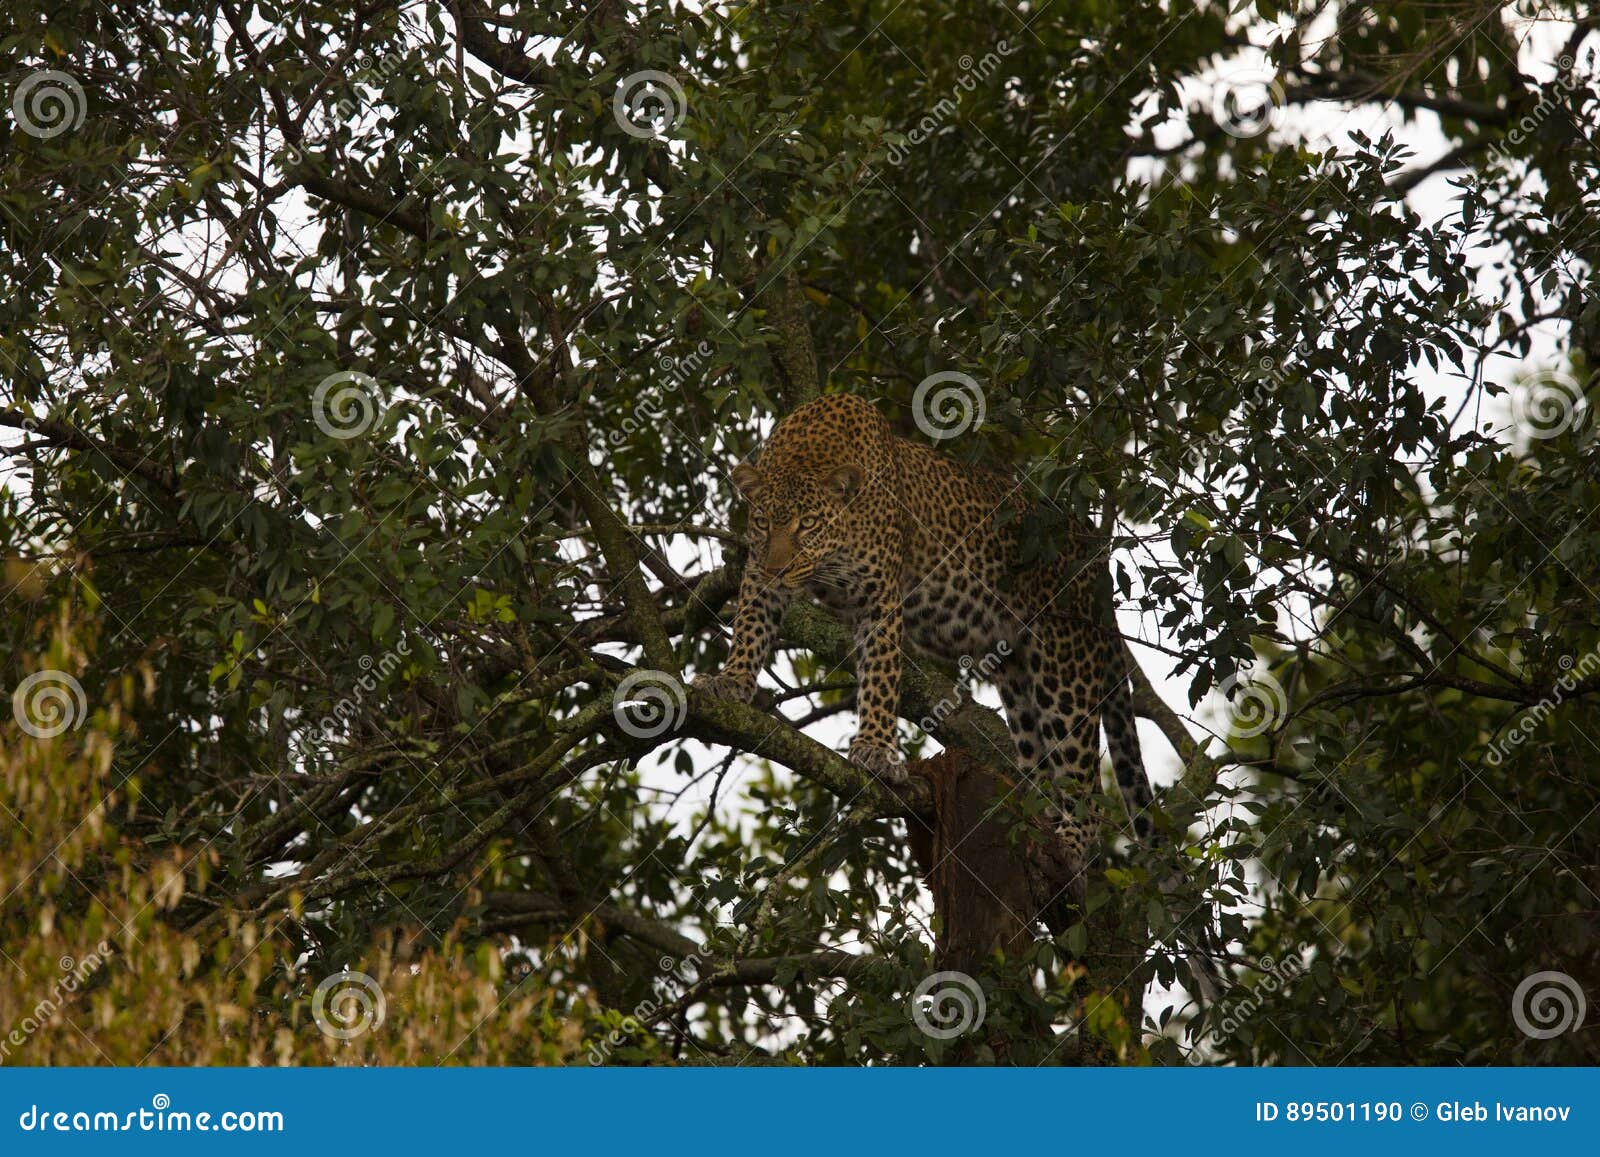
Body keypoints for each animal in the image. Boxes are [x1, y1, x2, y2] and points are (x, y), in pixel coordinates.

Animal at [693, 392, 1150, 865]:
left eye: (809, 525)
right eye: (764, 523)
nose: (779, 570)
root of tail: (1093, 550)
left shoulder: (880, 596)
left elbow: (880, 675)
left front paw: (875, 749)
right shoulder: (757, 576)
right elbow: (750, 629)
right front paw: (731, 681)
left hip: (1065, 663)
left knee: (1086, 782)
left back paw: (1071, 843)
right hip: (1020, 682)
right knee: (1040, 762)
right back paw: (1035, 830)